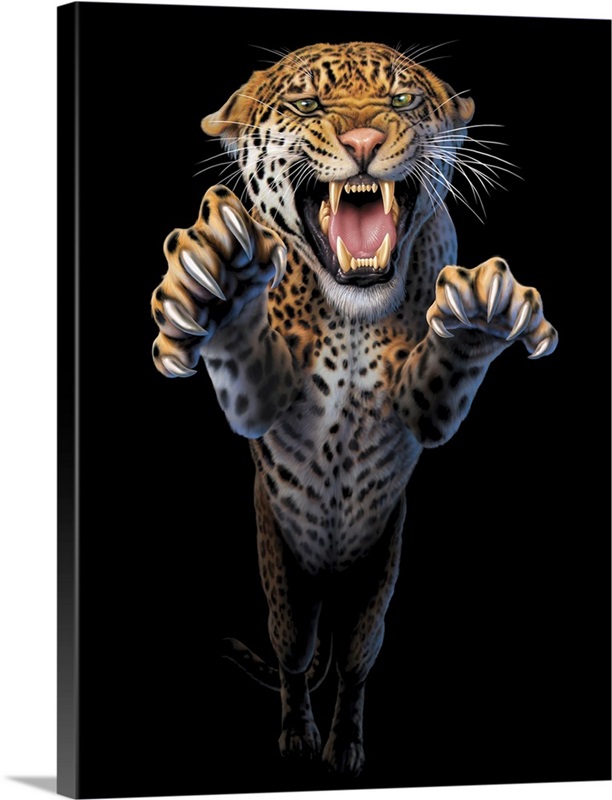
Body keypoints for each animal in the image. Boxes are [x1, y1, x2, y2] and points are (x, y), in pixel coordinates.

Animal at [150, 41, 557, 777]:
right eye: (308, 103)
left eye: (401, 101)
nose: (362, 140)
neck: (353, 317)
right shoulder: (263, 398)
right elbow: (243, 357)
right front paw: (216, 283)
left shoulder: (425, 407)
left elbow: (443, 379)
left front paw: (482, 312)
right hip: (284, 585)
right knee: (296, 661)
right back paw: (297, 736)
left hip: (376, 587)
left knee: (352, 668)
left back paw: (344, 747)